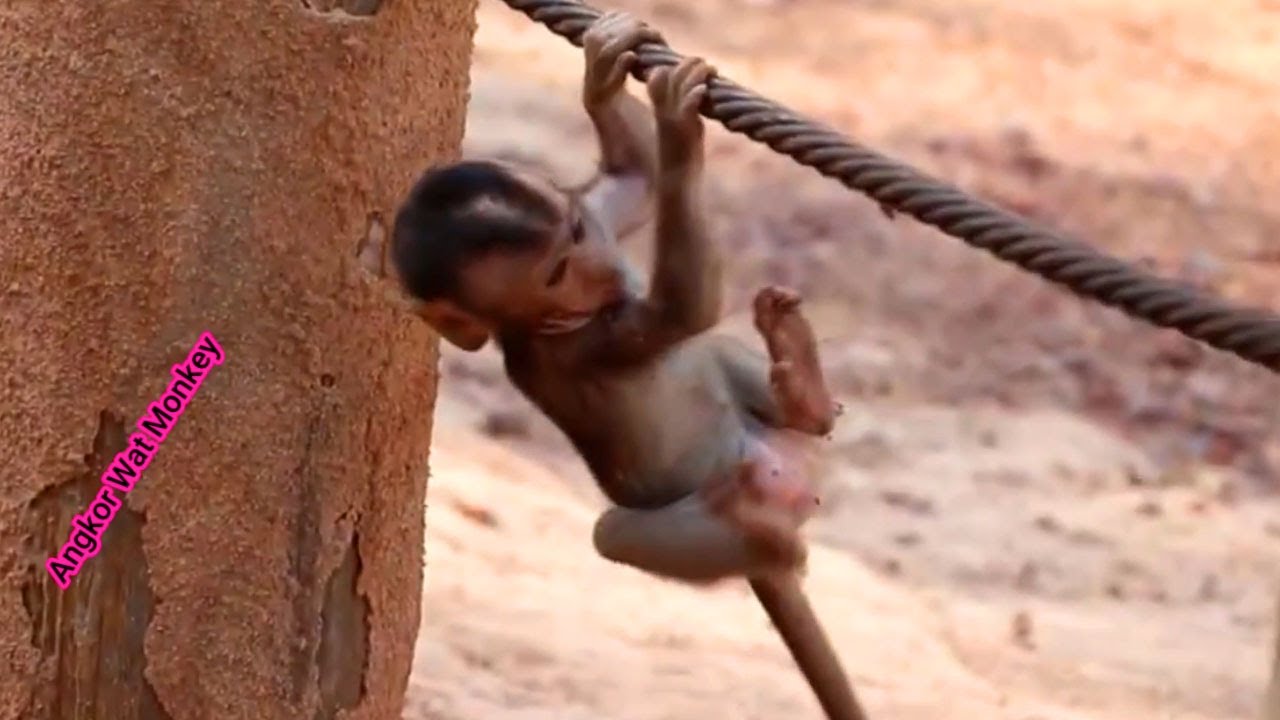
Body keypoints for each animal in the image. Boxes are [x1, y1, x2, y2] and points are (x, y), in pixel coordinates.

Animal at [380, 11, 867, 720]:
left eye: (578, 231)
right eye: (556, 271)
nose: (604, 269)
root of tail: (781, 487)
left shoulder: (600, 219)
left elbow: (637, 186)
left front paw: (604, 77)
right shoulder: (579, 346)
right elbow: (680, 309)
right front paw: (677, 126)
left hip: (784, 449)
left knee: (729, 365)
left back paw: (802, 388)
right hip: (709, 519)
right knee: (614, 534)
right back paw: (764, 532)